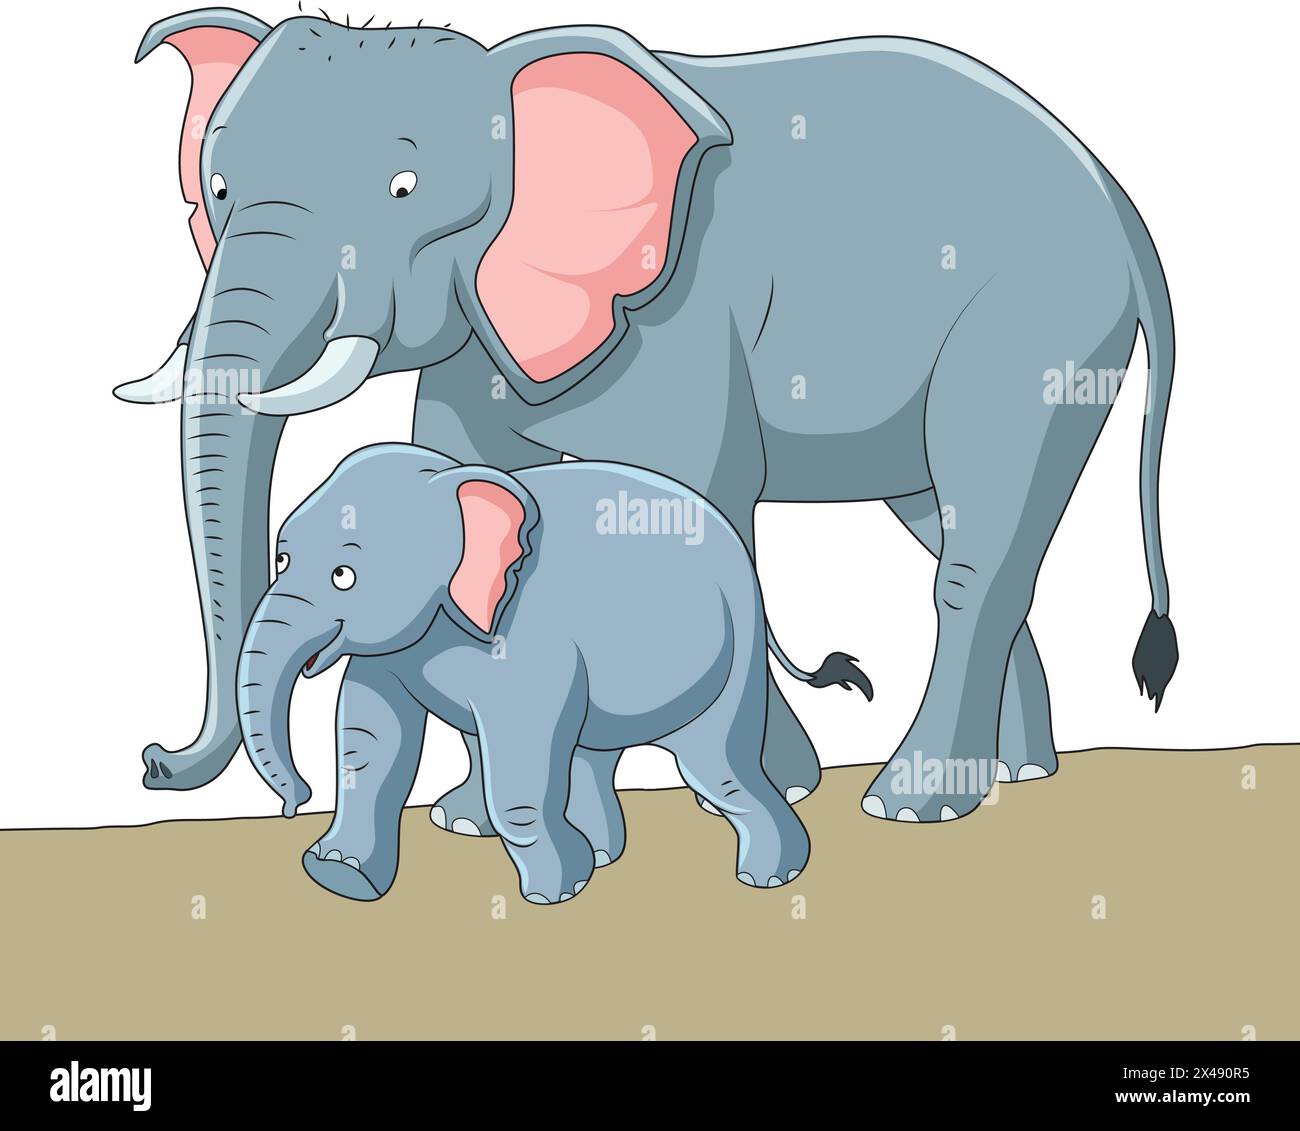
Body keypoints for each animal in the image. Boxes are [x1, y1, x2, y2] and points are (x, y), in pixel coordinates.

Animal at [119, 10, 1178, 824]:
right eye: (215, 189)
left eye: (404, 192)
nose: (153, 759)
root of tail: (1119, 199)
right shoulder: (482, 337)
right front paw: (466, 819)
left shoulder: (679, 321)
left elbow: (696, 494)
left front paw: (782, 784)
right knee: (953, 522)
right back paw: (1019, 772)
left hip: (1034, 326)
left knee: (980, 532)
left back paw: (910, 802)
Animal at [237, 442, 871, 902]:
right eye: (283, 558)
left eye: (344, 575)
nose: (295, 801)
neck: (450, 479)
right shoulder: (397, 649)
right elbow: (371, 738)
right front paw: (340, 875)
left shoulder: (528, 643)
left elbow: (520, 752)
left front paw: (552, 893)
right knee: (593, 751)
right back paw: (600, 854)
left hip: (731, 658)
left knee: (717, 762)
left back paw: (769, 878)